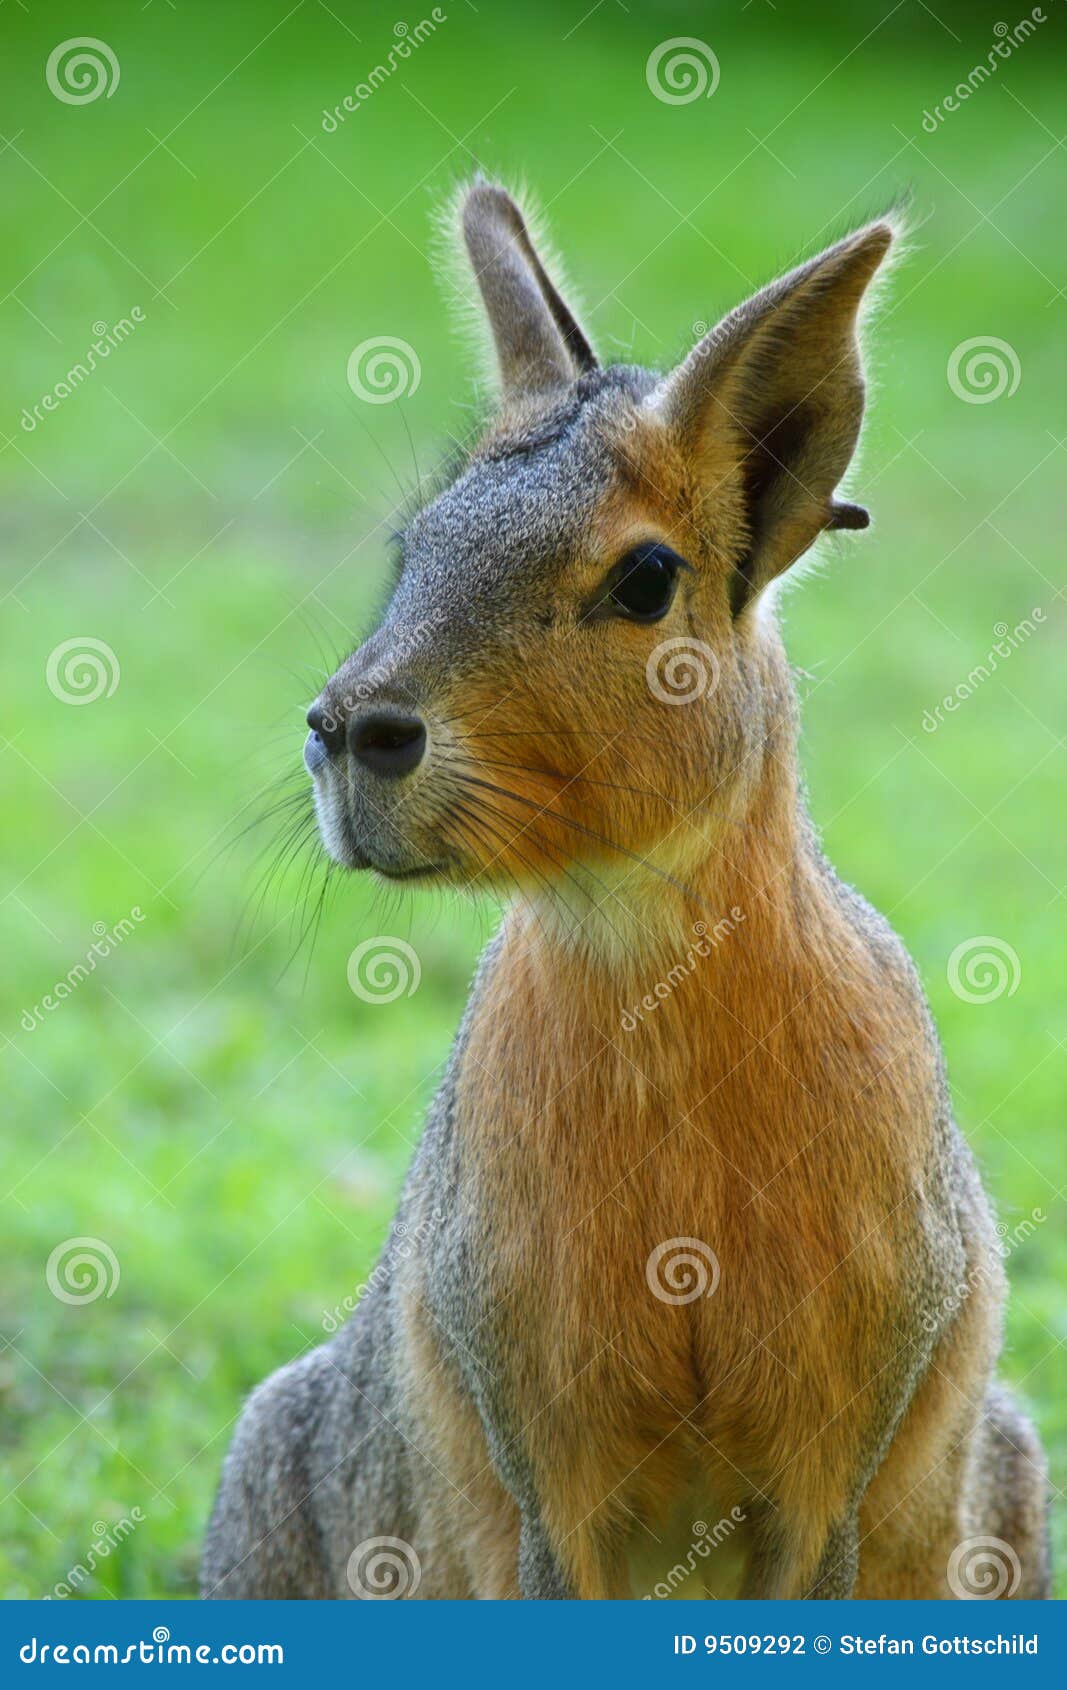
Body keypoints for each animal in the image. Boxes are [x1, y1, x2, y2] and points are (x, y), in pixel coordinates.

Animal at [201, 181, 1050, 1601]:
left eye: (645, 580)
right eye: (415, 544)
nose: (349, 730)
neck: (648, 970)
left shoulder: (828, 1465)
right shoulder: (548, 1468)